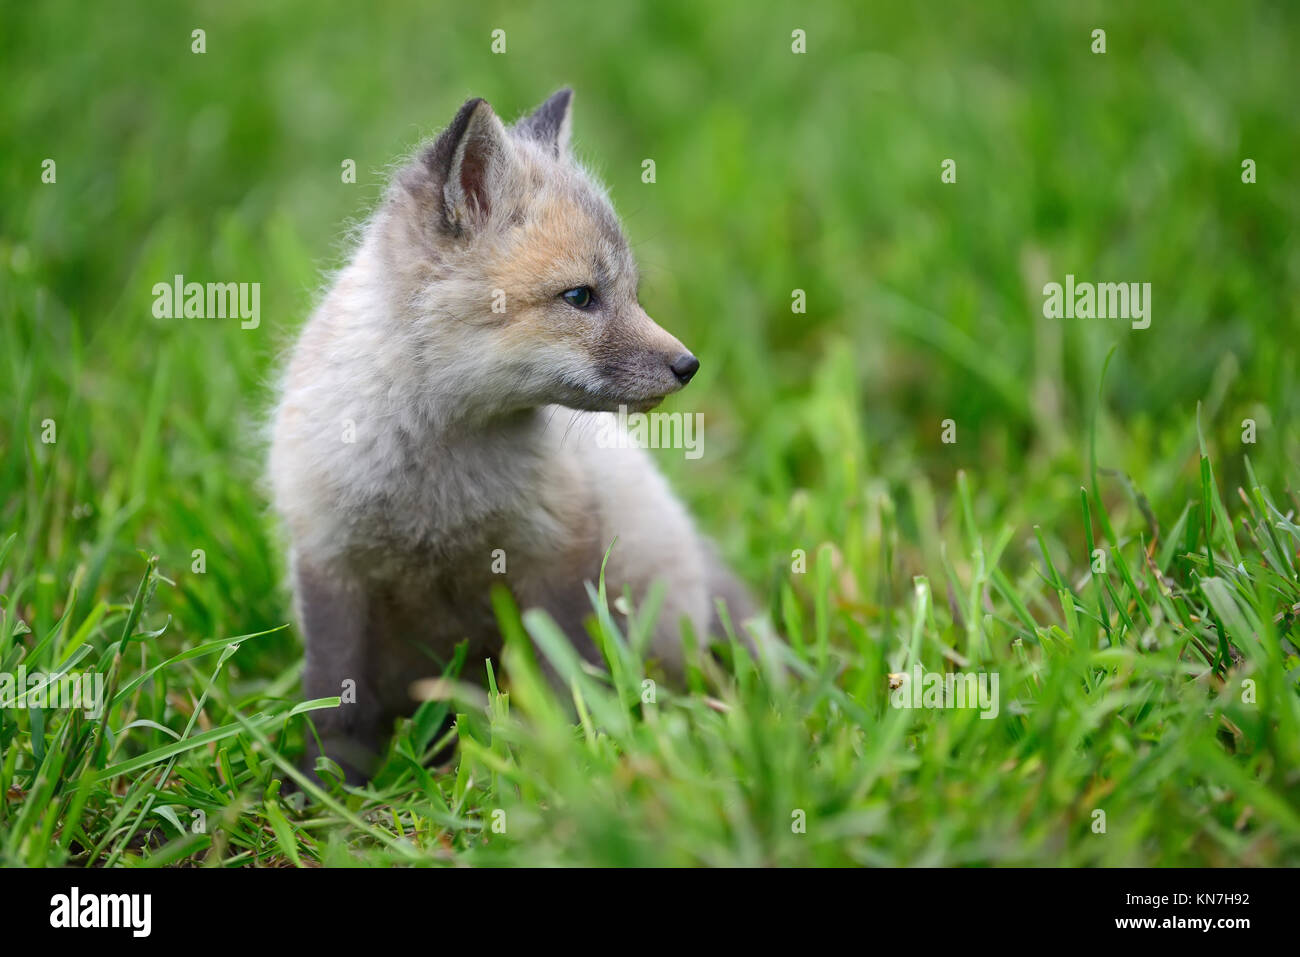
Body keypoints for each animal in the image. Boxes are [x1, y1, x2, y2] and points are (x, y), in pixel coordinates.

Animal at [269, 89, 759, 782]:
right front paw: (322, 796)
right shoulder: (330, 562)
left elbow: (561, 686)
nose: (688, 366)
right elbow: (336, 710)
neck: (436, 483)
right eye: (580, 296)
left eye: (632, 293)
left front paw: (559, 768)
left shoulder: (556, 553)